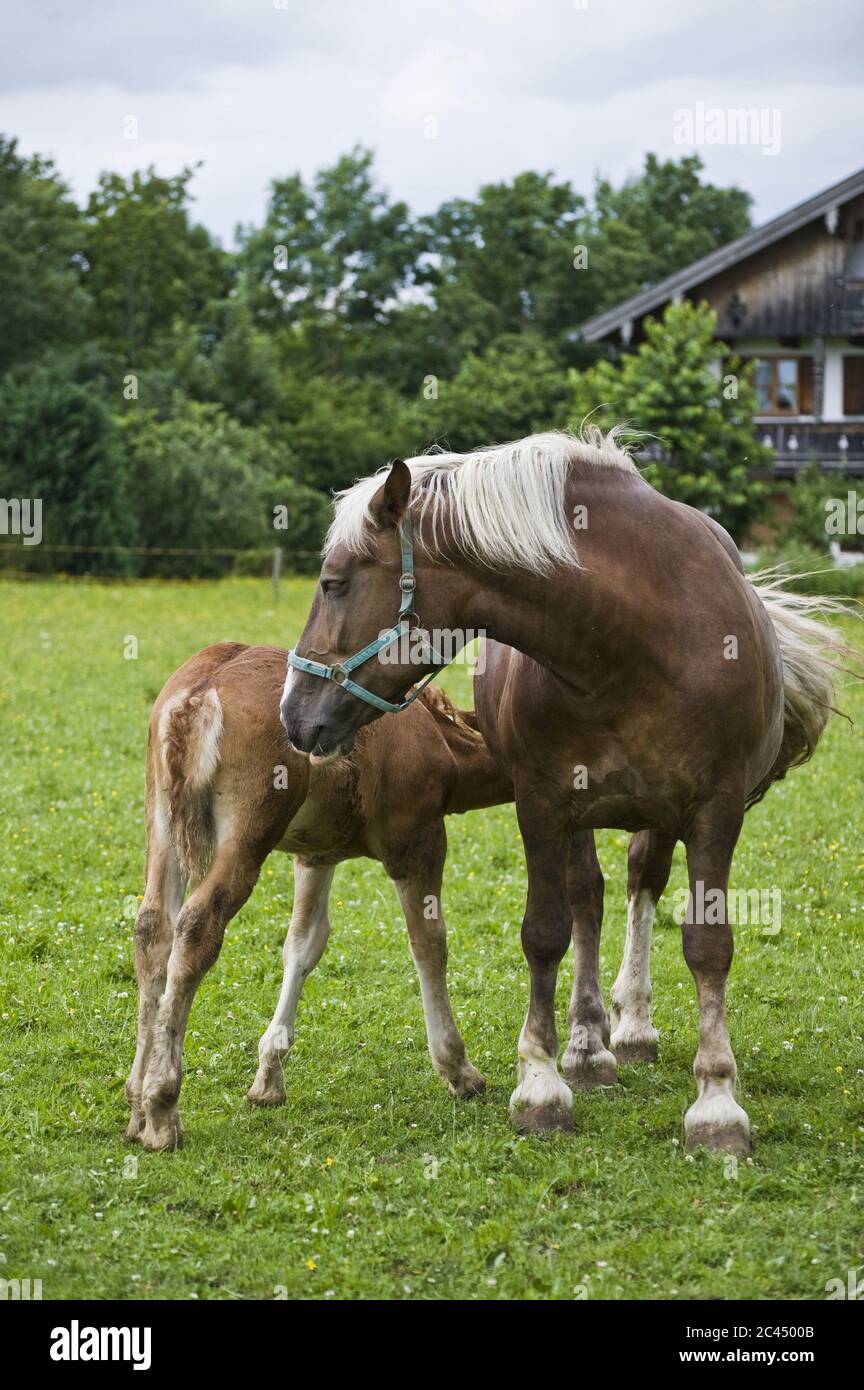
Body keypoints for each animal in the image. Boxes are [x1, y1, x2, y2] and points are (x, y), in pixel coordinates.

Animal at [125, 641, 513, 1151]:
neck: (436, 737)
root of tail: (199, 691)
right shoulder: (418, 843)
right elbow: (430, 944)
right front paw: (458, 1068)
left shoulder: (315, 856)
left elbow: (304, 943)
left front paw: (269, 1076)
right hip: (246, 838)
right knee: (196, 928)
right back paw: (162, 1107)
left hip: (162, 826)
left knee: (153, 930)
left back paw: (135, 1106)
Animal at [280, 429, 851, 1154]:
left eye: (334, 583)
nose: (293, 715)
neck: (634, 642)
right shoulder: (544, 804)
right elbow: (547, 932)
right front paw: (543, 1084)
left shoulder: (715, 811)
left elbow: (707, 944)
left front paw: (718, 1103)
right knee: (589, 898)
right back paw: (589, 1047)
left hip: (661, 816)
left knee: (642, 882)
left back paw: (633, 1026)